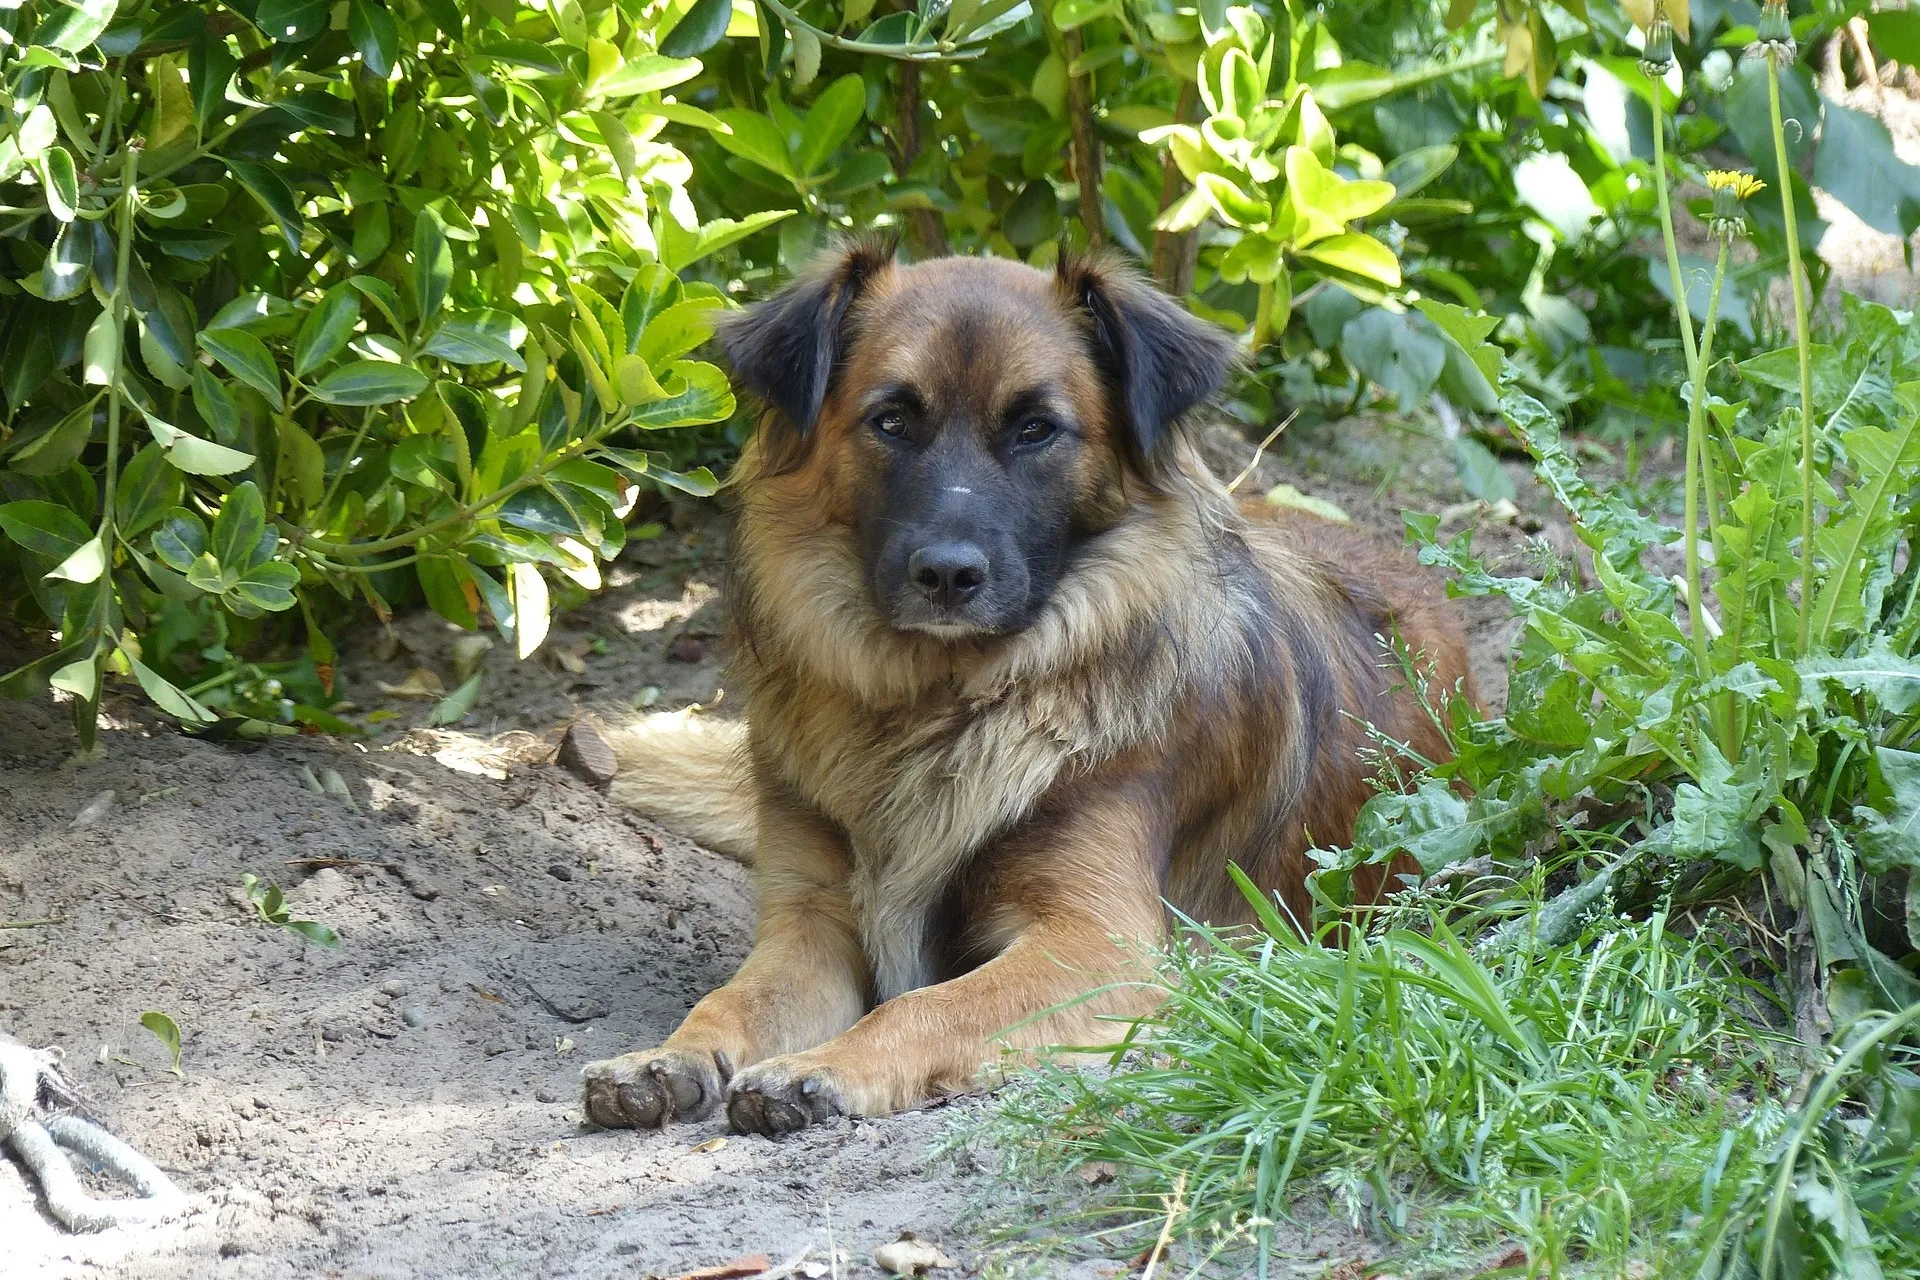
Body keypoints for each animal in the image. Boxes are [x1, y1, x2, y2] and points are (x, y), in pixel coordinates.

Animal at [579, 245, 1466, 1136]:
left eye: (1036, 429)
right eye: (891, 420)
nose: (947, 575)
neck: (942, 704)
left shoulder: (1098, 944)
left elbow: (923, 1006)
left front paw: (821, 1067)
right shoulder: (812, 921)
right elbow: (733, 999)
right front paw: (669, 1056)